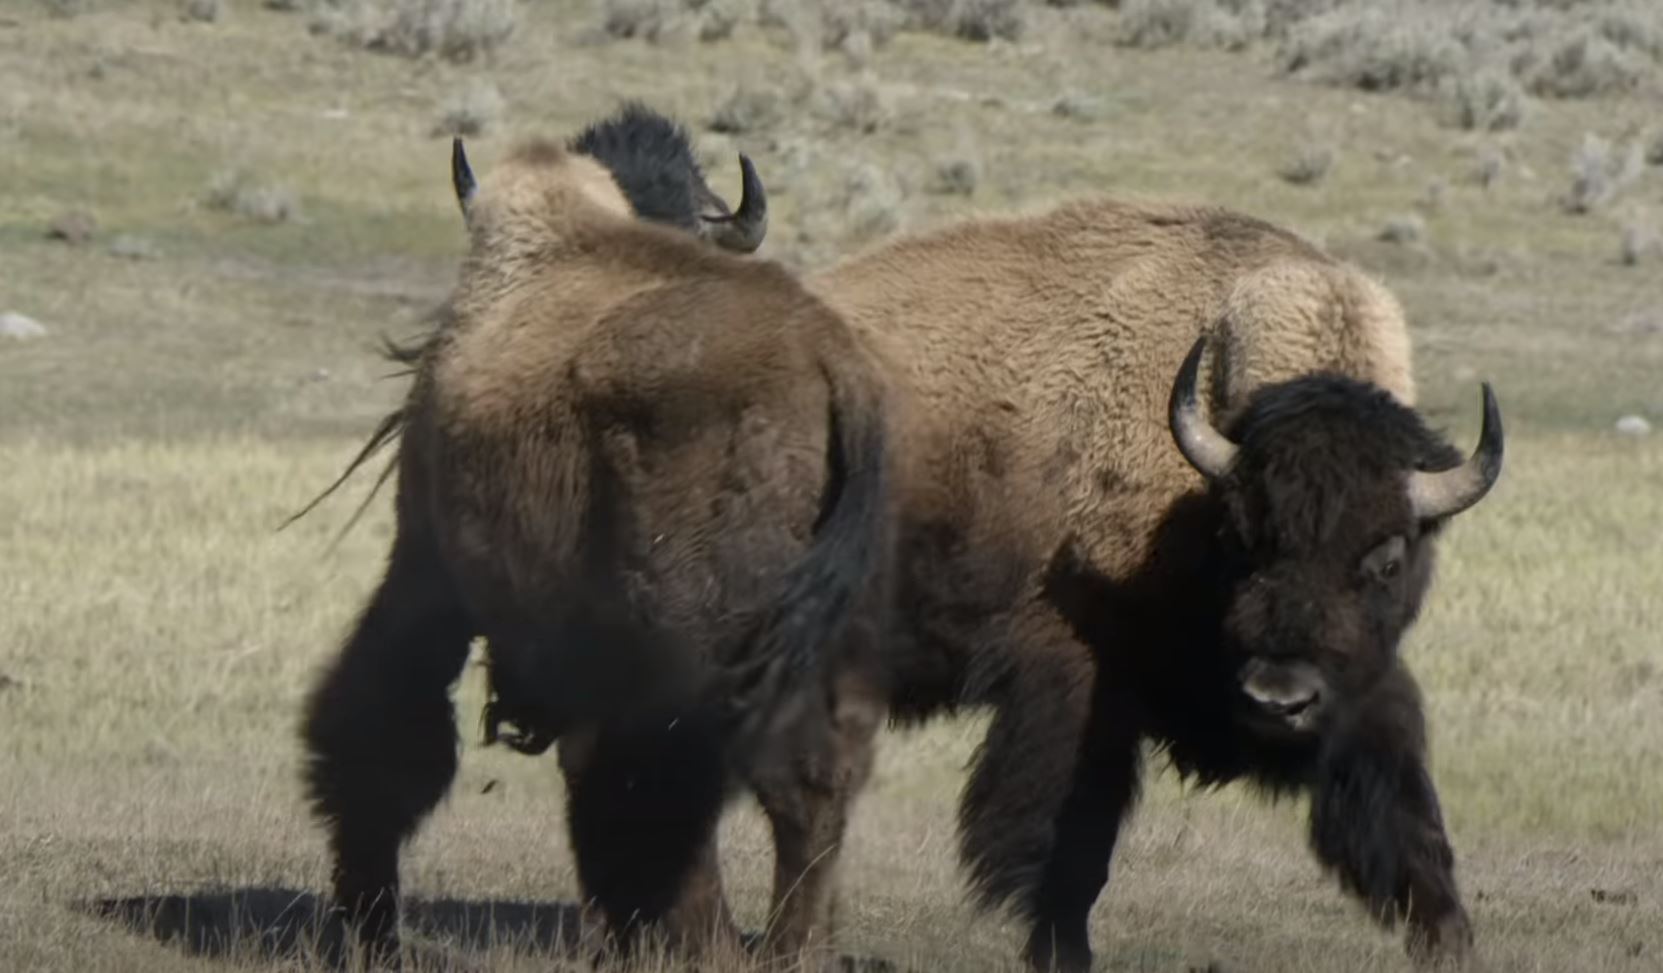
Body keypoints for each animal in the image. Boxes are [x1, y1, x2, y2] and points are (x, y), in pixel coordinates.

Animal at [297, 105, 892, 967]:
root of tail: (830, 362)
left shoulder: (429, 570)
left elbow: (388, 725)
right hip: (827, 638)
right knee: (818, 778)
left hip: (706, 645)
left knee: (731, 782)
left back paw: (732, 944)